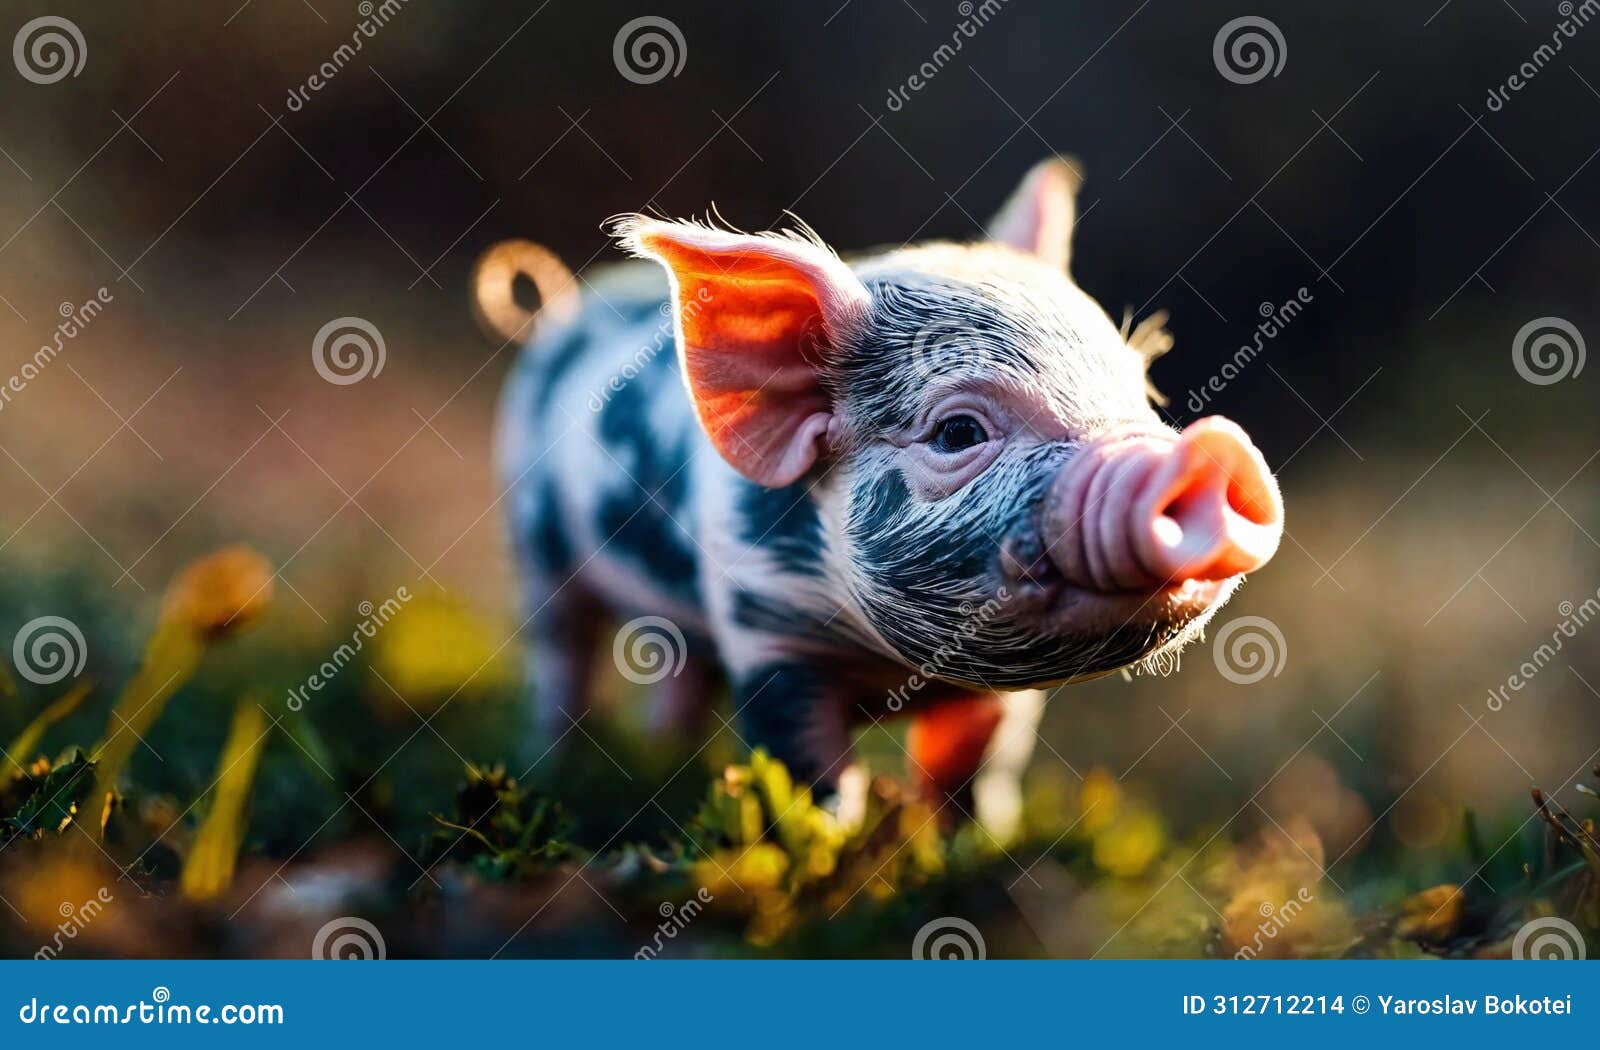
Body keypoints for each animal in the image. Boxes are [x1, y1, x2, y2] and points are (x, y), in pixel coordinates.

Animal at [479, 158, 1284, 838]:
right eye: (957, 431)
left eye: (1140, 391)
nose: (1213, 454)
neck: (891, 672)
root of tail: (556, 315)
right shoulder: (767, 633)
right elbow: (808, 766)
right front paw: (833, 844)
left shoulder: (995, 699)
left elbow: (977, 767)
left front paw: (978, 845)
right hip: (534, 547)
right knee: (560, 656)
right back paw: (555, 767)